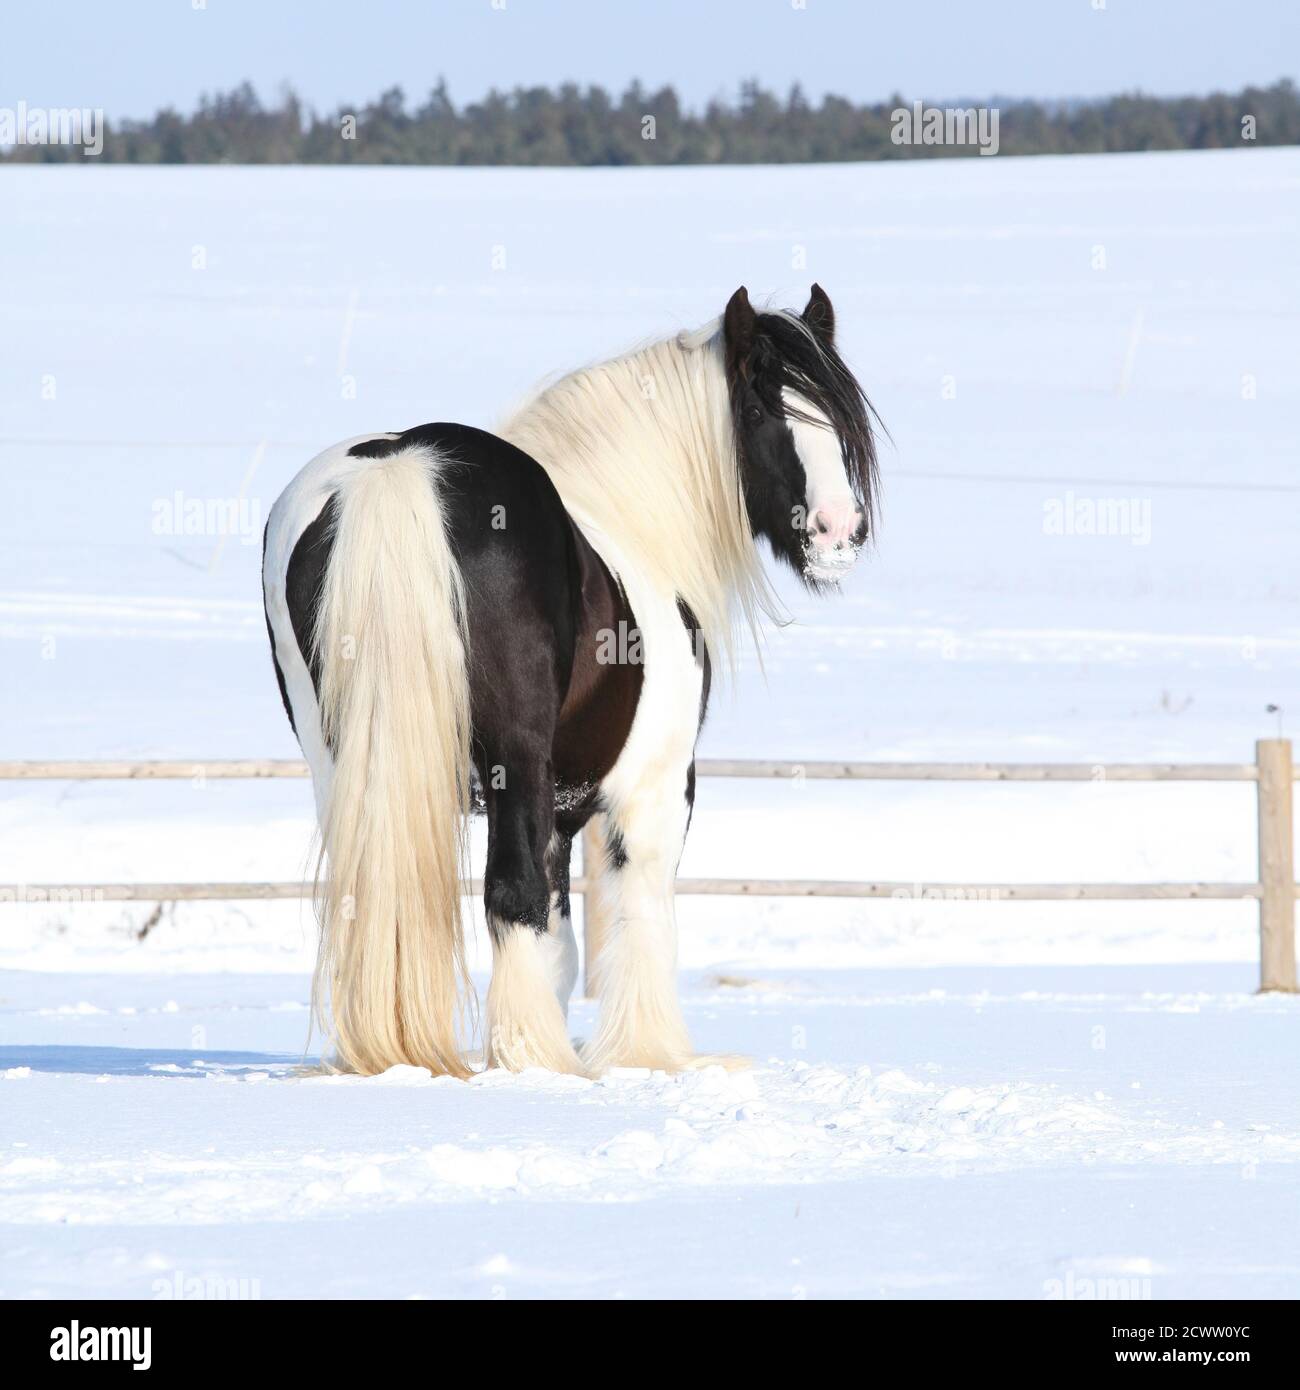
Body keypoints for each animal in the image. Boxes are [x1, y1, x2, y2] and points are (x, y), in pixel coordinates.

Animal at [261, 284, 878, 1078]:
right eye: (759, 406)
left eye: (833, 410)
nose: (839, 531)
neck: (631, 523)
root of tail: (399, 469)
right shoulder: (656, 786)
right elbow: (638, 915)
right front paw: (648, 1054)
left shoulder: (560, 808)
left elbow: (560, 942)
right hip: (514, 760)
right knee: (512, 891)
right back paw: (539, 1063)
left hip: (337, 760)